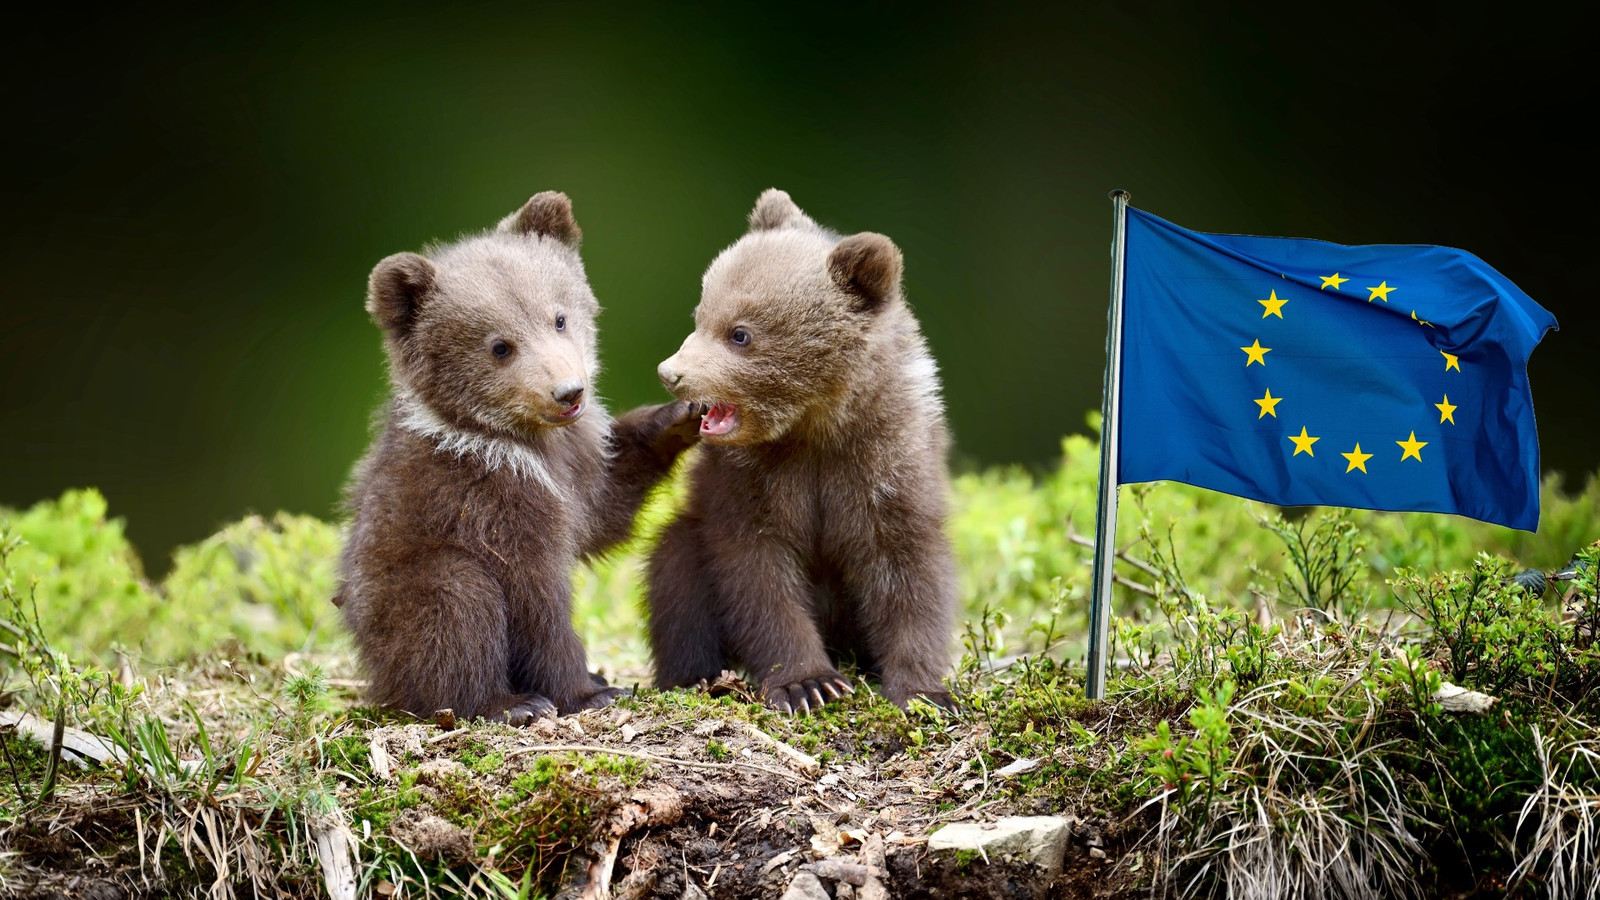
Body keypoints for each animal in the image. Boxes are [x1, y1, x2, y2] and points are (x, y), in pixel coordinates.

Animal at [335, 191, 701, 723]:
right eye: (500, 346)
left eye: (559, 317)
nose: (568, 392)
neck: (525, 443)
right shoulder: (491, 499)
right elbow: (535, 597)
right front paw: (588, 691)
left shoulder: (578, 466)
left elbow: (605, 509)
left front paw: (678, 416)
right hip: (403, 591)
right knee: (457, 602)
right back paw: (508, 702)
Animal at [647, 188, 957, 714]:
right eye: (700, 315)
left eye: (740, 332)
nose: (671, 373)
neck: (814, 428)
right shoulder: (750, 480)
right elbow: (758, 574)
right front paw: (807, 683)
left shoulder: (886, 463)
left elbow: (909, 571)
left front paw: (925, 690)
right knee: (675, 571)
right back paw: (697, 675)